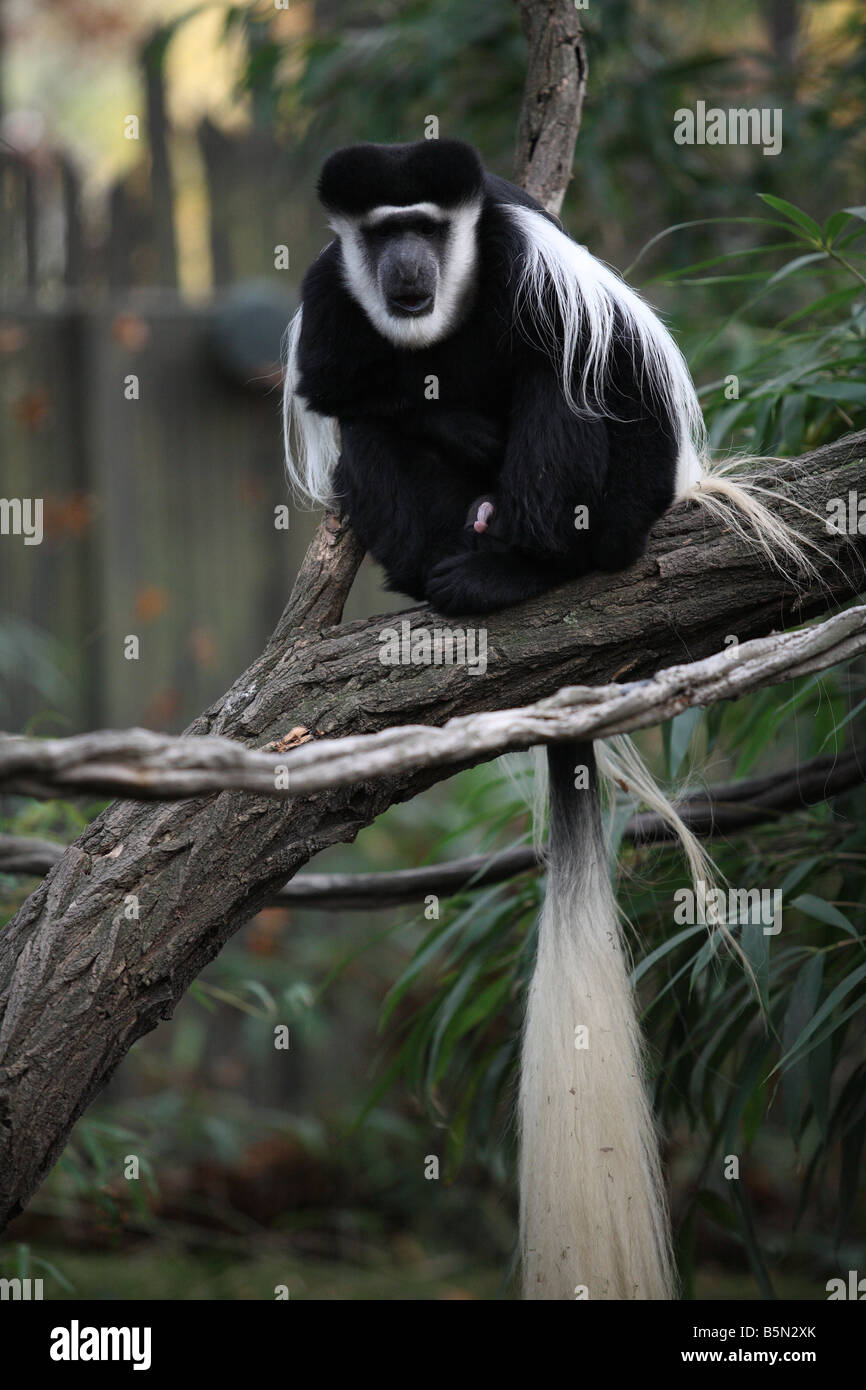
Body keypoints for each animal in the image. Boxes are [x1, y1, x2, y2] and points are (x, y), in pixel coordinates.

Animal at [282, 139, 816, 1300]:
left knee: (564, 376)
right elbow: (345, 387)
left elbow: (570, 360)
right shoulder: (328, 300)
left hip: (621, 490)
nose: (402, 267)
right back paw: (441, 576)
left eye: (425, 226)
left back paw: (518, 566)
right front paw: (431, 407)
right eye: (379, 231)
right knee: (373, 434)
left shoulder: (525, 261)